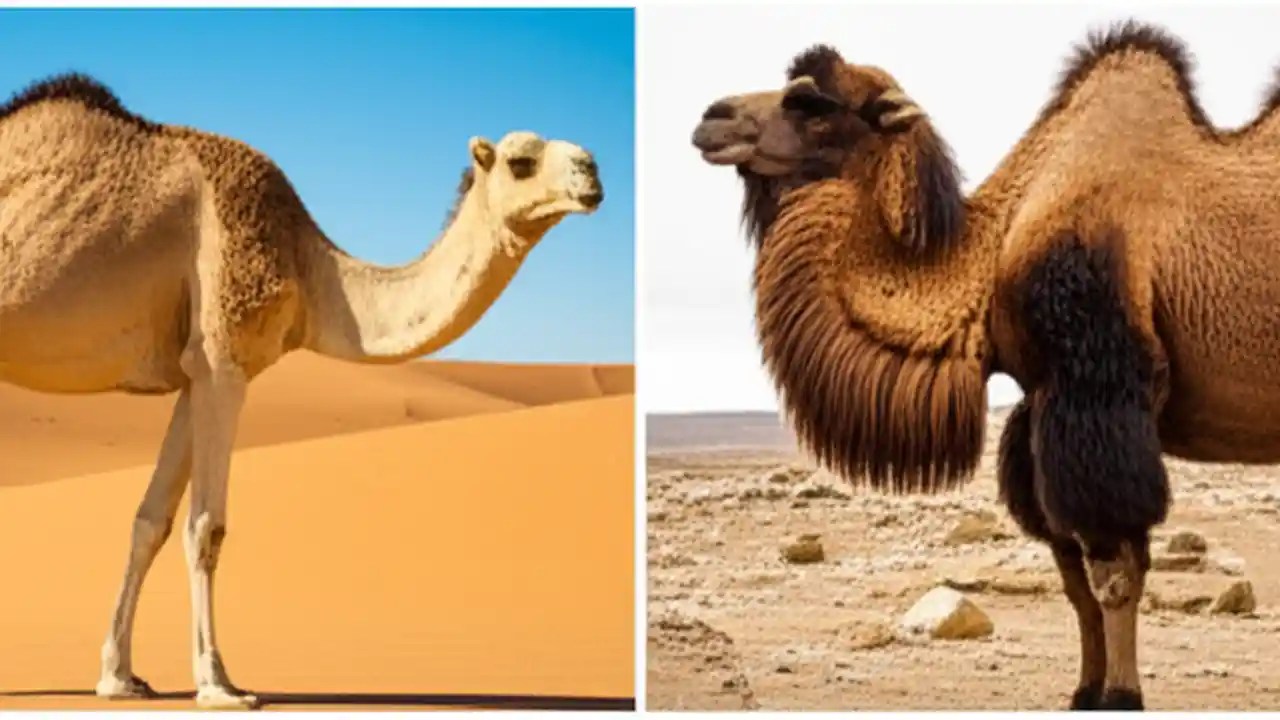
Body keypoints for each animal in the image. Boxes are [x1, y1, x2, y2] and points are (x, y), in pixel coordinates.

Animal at [0, 73, 603, 709]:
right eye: (521, 162)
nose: (591, 171)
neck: (308, 267)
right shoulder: (224, 360)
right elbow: (206, 527)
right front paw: (219, 683)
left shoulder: (200, 372)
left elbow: (151, 522)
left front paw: (120, 677)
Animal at [690, 20, 1280, 710]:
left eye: (810, 102)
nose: (711, 117)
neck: (1000, 243)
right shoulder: (1041, 408)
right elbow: (1070, 572)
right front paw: (1084, 690)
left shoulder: (1098, 393)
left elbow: (1114, 572)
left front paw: (1120, 696)